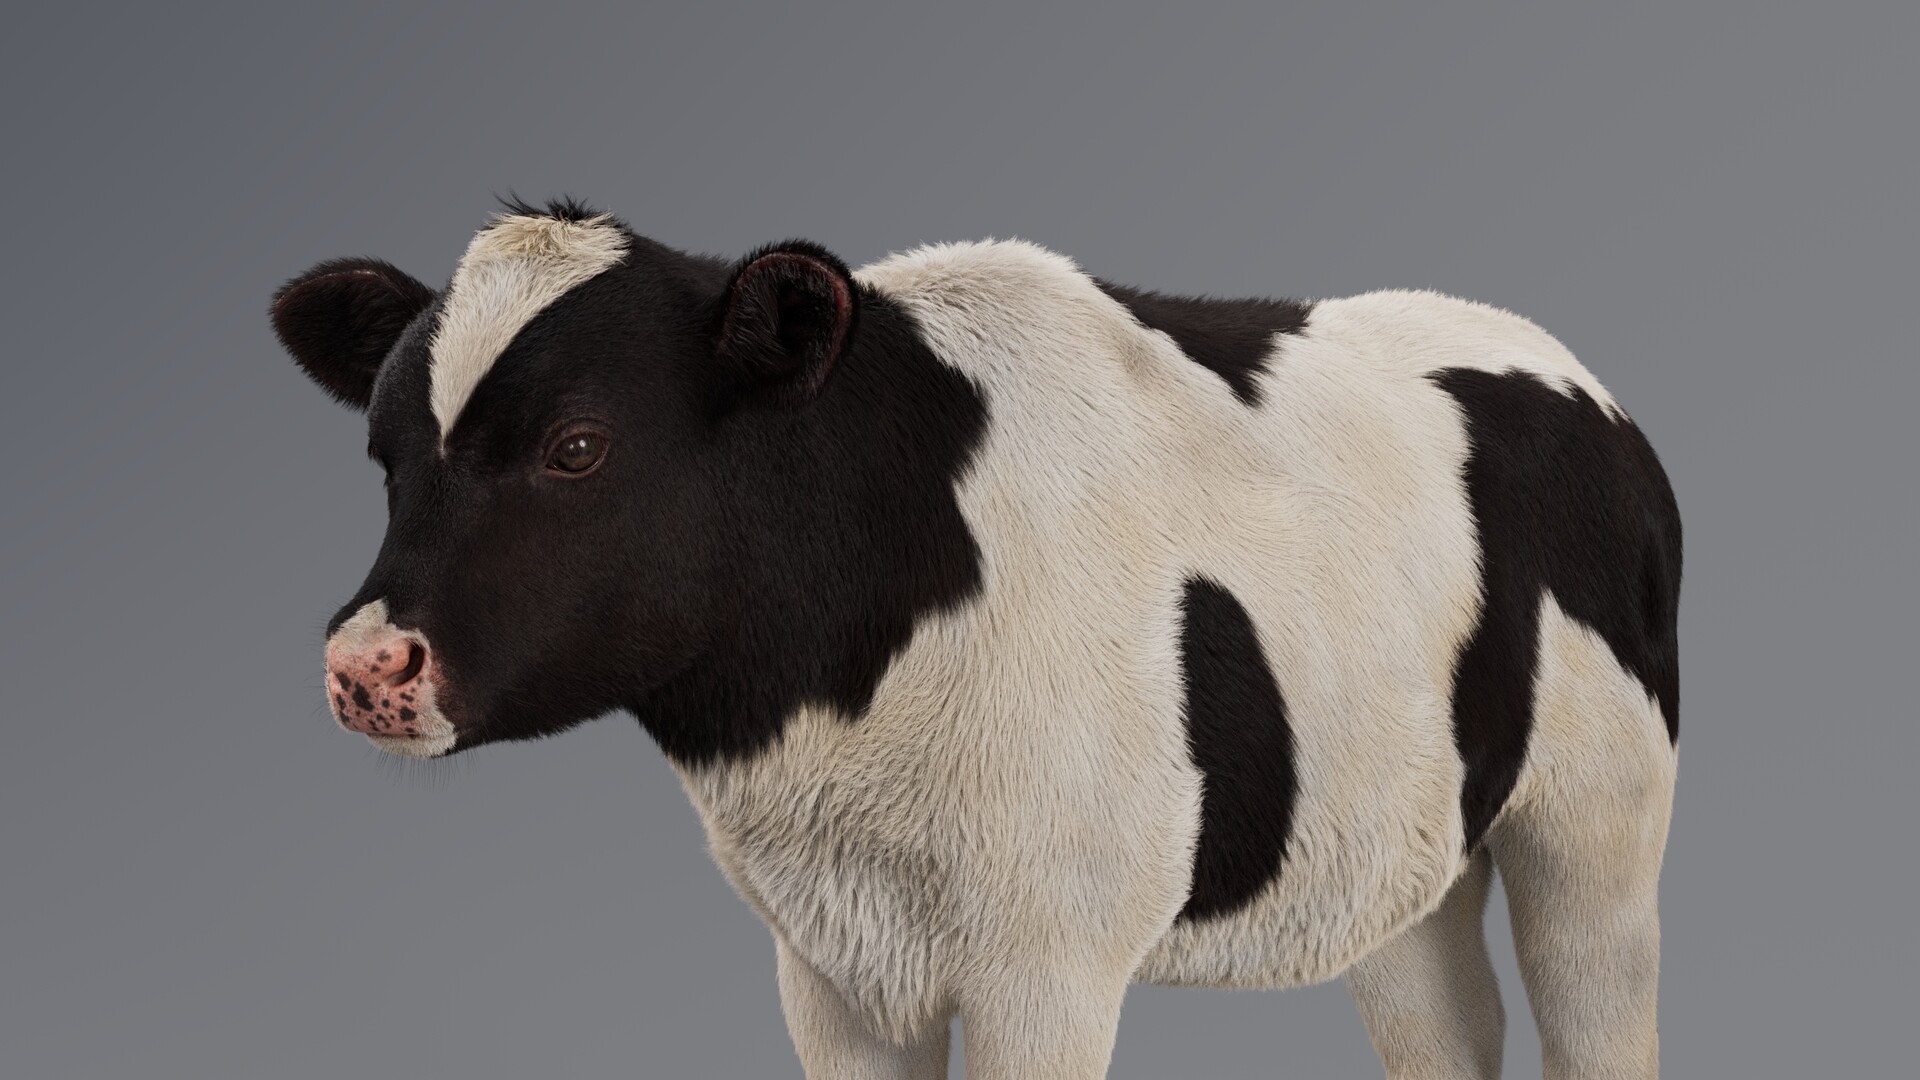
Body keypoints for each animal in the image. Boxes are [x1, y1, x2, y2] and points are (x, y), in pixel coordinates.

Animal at [272, 198, 1681, 1080]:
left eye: (577, 446)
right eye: (385, 454)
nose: (365, 666)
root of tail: (1575, 378)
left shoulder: (1048, 955)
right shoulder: (826, 964)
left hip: (1598, 821)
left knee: (1599, 1018)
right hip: (1403, 850)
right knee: (1450, 1025)